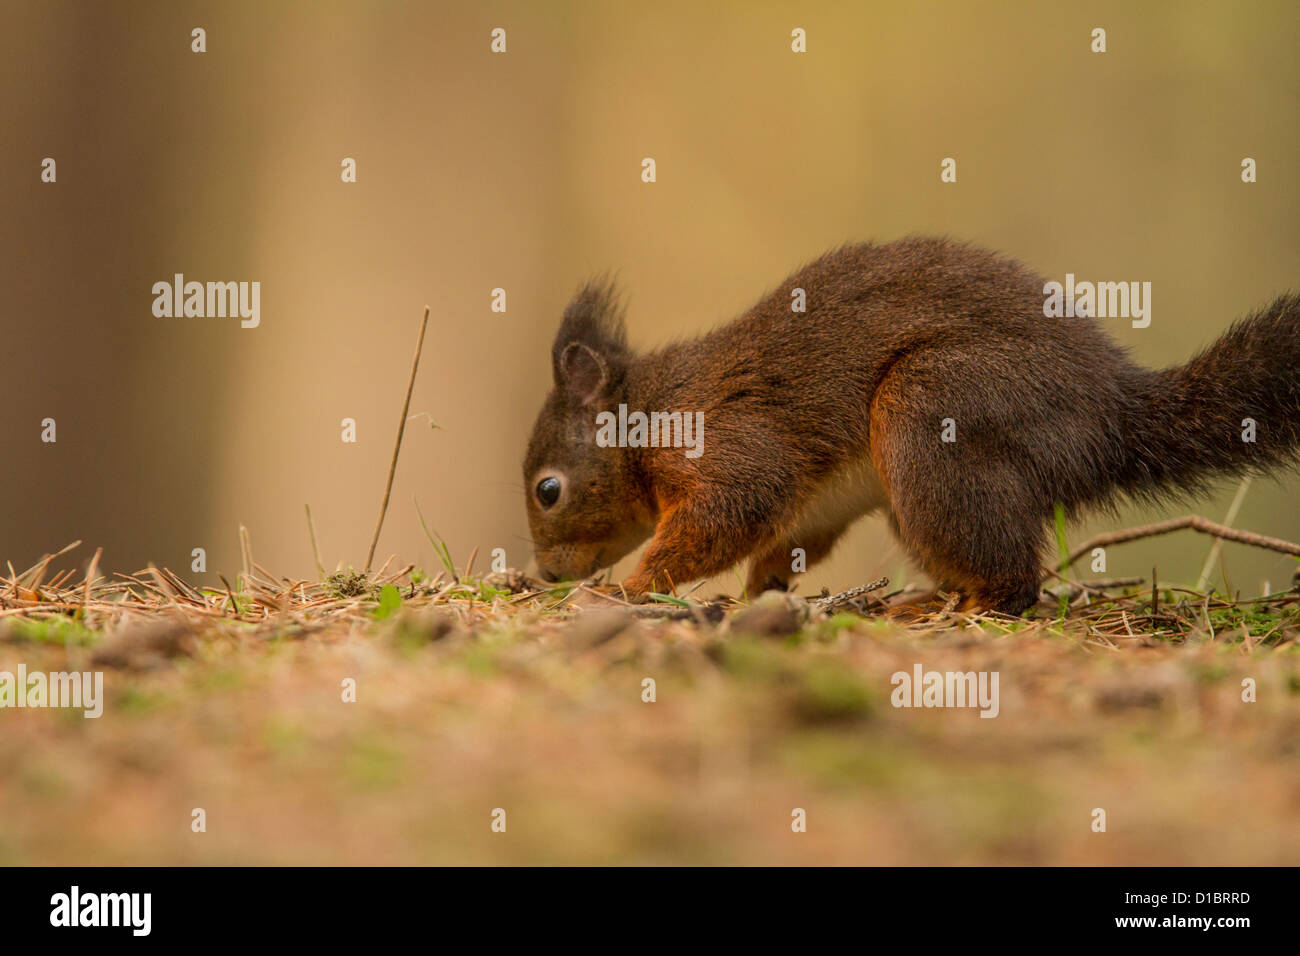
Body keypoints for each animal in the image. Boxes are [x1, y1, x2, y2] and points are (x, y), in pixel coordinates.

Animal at [522, 237, 1300, 613]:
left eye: (547, 490)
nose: (547, 573)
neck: (646, 413)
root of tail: (1114, 414)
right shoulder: (815, 503)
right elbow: (785, 538)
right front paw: (757, 593)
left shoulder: (719, 439)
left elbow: (733, 506)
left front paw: (626, 588)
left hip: (936, 408)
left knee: (1016, 581)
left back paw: (960, 608)